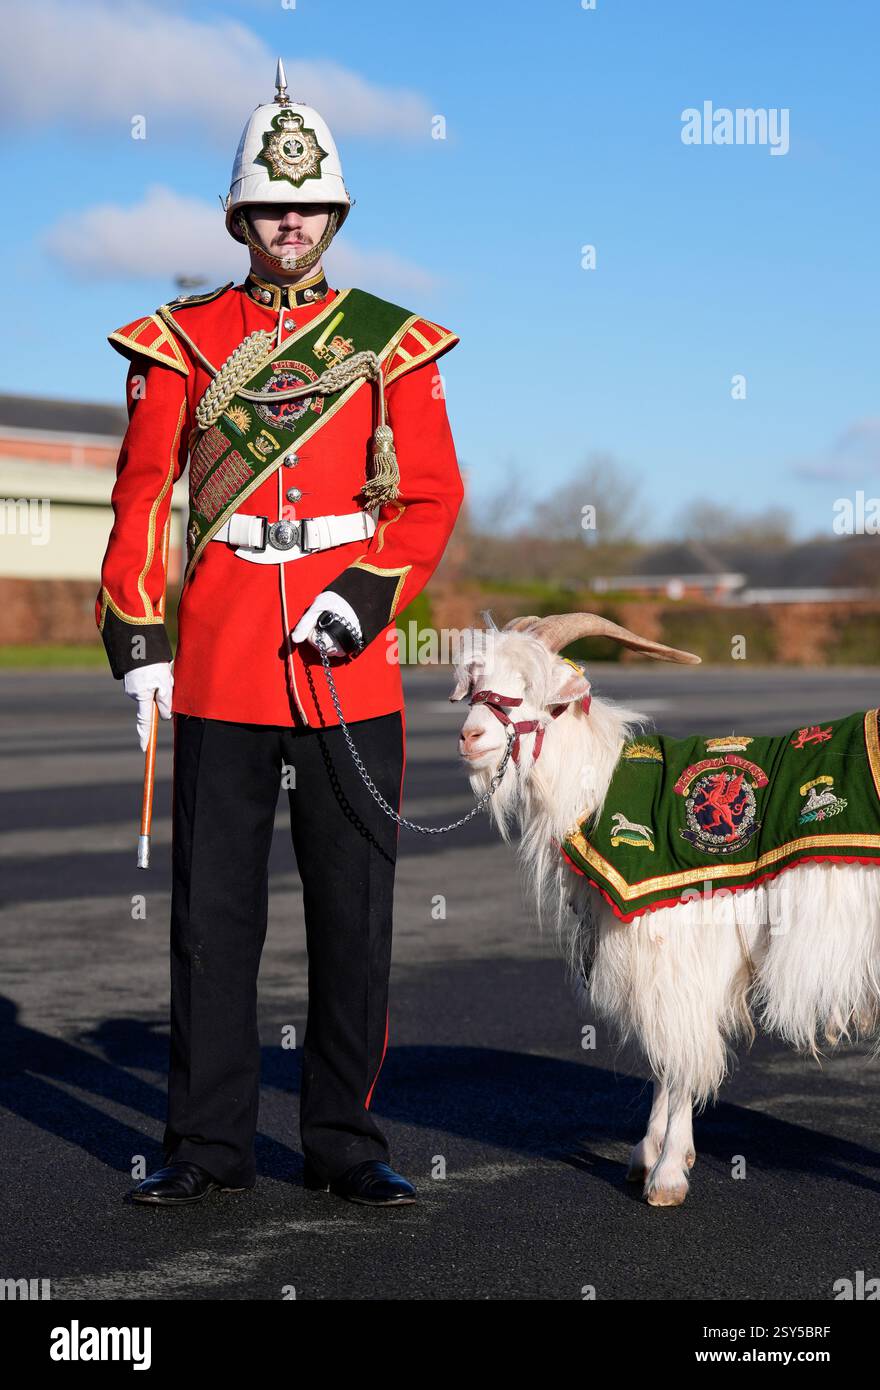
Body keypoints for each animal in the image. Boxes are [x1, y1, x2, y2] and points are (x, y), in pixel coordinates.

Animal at [451, 613, 880, 1207]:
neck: (599, 787)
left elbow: (680, 1054)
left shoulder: (680, 944)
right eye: (476, 683)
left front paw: (668, 1172)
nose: (470, 736)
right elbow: (668, 1056)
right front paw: (648, 1152)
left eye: (540, 693)